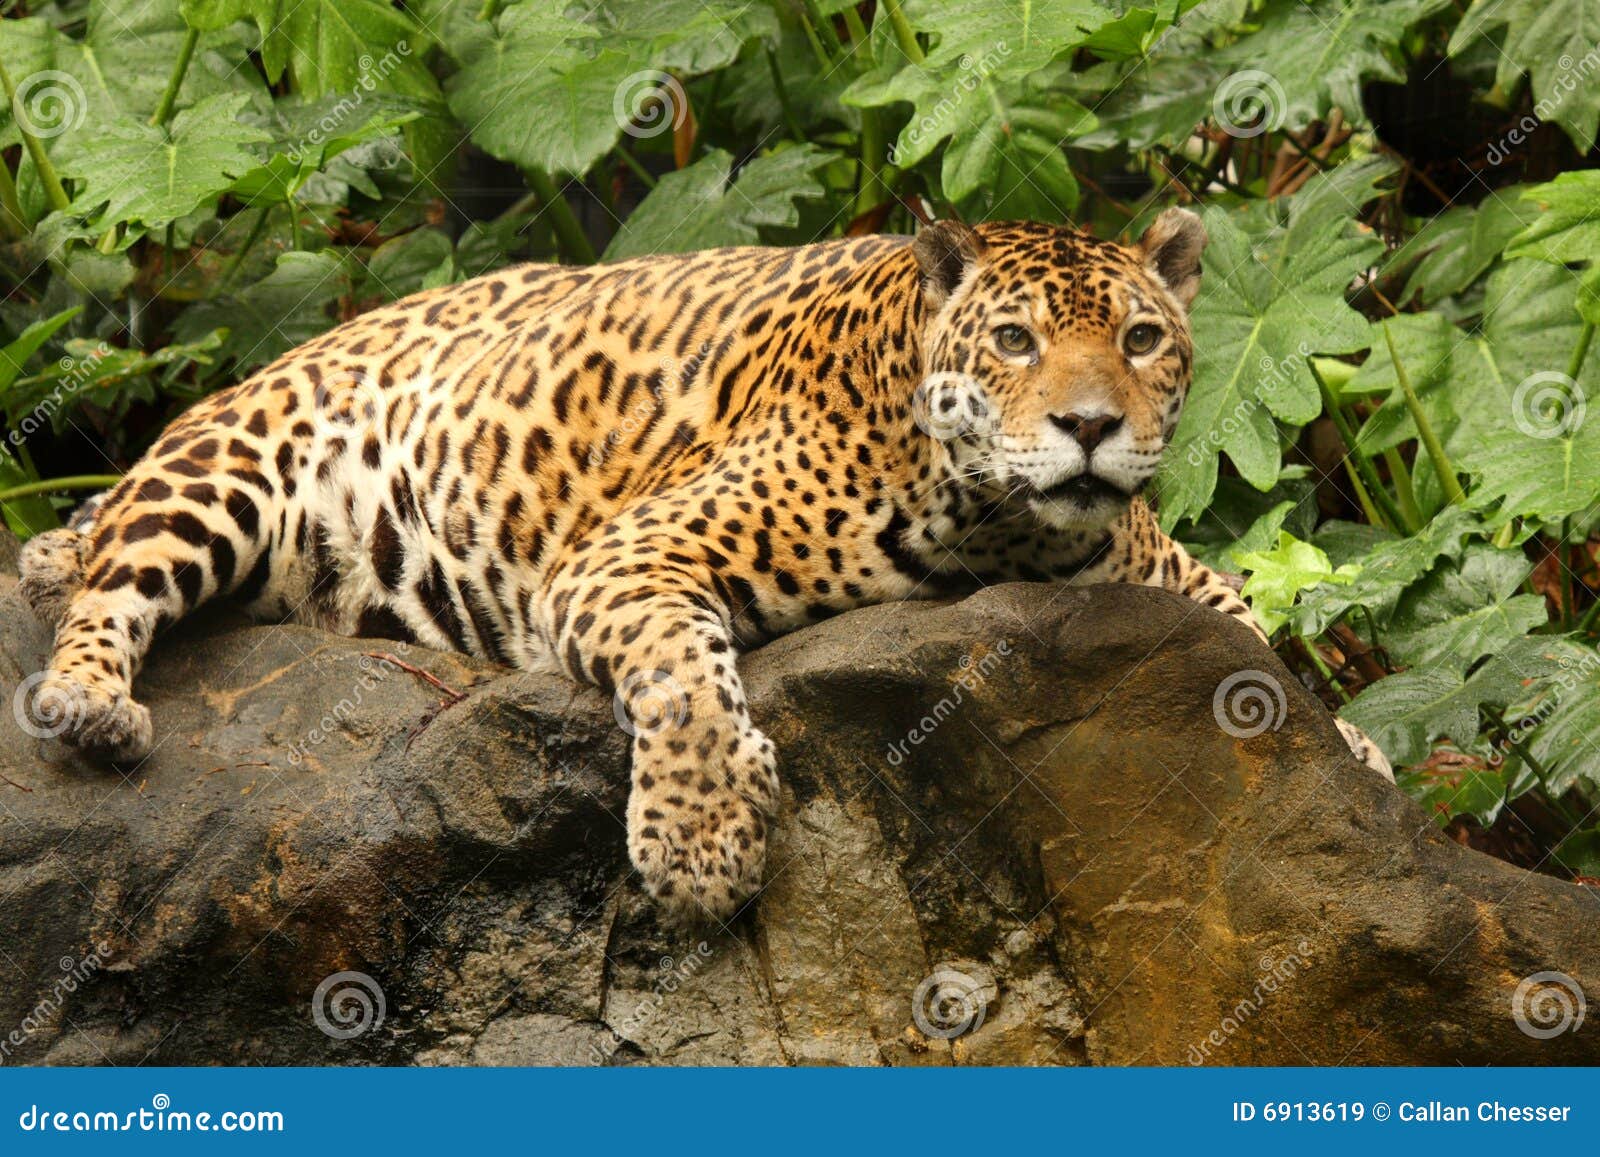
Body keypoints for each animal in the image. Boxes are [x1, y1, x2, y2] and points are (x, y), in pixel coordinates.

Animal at [18, 207, 1392, 921]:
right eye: (1012, 340)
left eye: (1143, 339)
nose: (1092, 426)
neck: (1009, 530)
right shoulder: (628, 555)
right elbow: (684, 675)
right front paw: (701, 837)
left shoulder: (1164, 567)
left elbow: (1266, 649)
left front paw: (1361, 759)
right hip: (231, 465)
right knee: (108, 579)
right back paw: (88, 696)